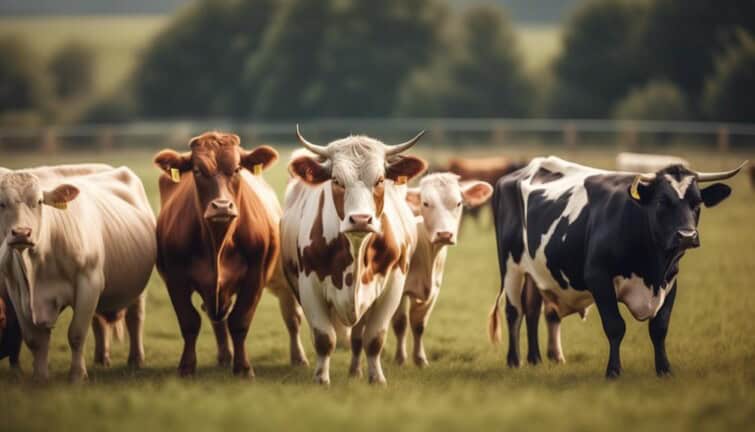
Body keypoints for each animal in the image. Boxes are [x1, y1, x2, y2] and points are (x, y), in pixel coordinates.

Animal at [0, 165, 155, 382]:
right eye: (1, 203)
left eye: (38, 202)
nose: (22, 233)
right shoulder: (16, 291)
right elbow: (35, 339)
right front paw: (40, 377)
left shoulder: (88, 282)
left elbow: (76, 334)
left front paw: (77, 375)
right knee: (99, 322)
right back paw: (101, 359)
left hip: (137, 289)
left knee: (135, 319)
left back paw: (135, 359)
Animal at [154, 131, 307, 378]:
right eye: (197, 170)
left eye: (236, 169)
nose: (222, 206)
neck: (218, 242)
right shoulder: (175, 277)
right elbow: (189, 321)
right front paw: (186, 367)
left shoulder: (256, 275)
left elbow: (240, 320)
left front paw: (243, 367)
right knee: (216, 318)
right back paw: (225, 356)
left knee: (291, 316)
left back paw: (298, 357)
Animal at [281, 127, 427, 385]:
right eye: (336, 180)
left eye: (379, 180)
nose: (360, 219)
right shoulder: (309, 286)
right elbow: (324, 338)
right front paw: (321, 378)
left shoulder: (392, 286)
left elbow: (374, 339)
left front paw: (377, 378)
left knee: (359, 337)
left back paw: (356, 370)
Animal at [393, 173, 493, 367]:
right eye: (425, 203)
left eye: (459, 203)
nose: (445, 234)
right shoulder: (398, 288)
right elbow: (400, 323)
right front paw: (400, 359)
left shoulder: (434, 289)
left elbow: (419, 324)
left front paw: (420, 360)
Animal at [488, 156, 746, 378]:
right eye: (662, 201)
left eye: (697, 203)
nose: (687, 235)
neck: (653, 268)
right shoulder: (598, 278)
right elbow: (615, 326)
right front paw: (613, 371)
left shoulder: (671, 281)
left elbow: (659, 328)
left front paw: (664, 370)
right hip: (511, 267)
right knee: (514, 311)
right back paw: (514, 361)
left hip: (537, 272)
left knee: (532, 310)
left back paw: (535, 359)